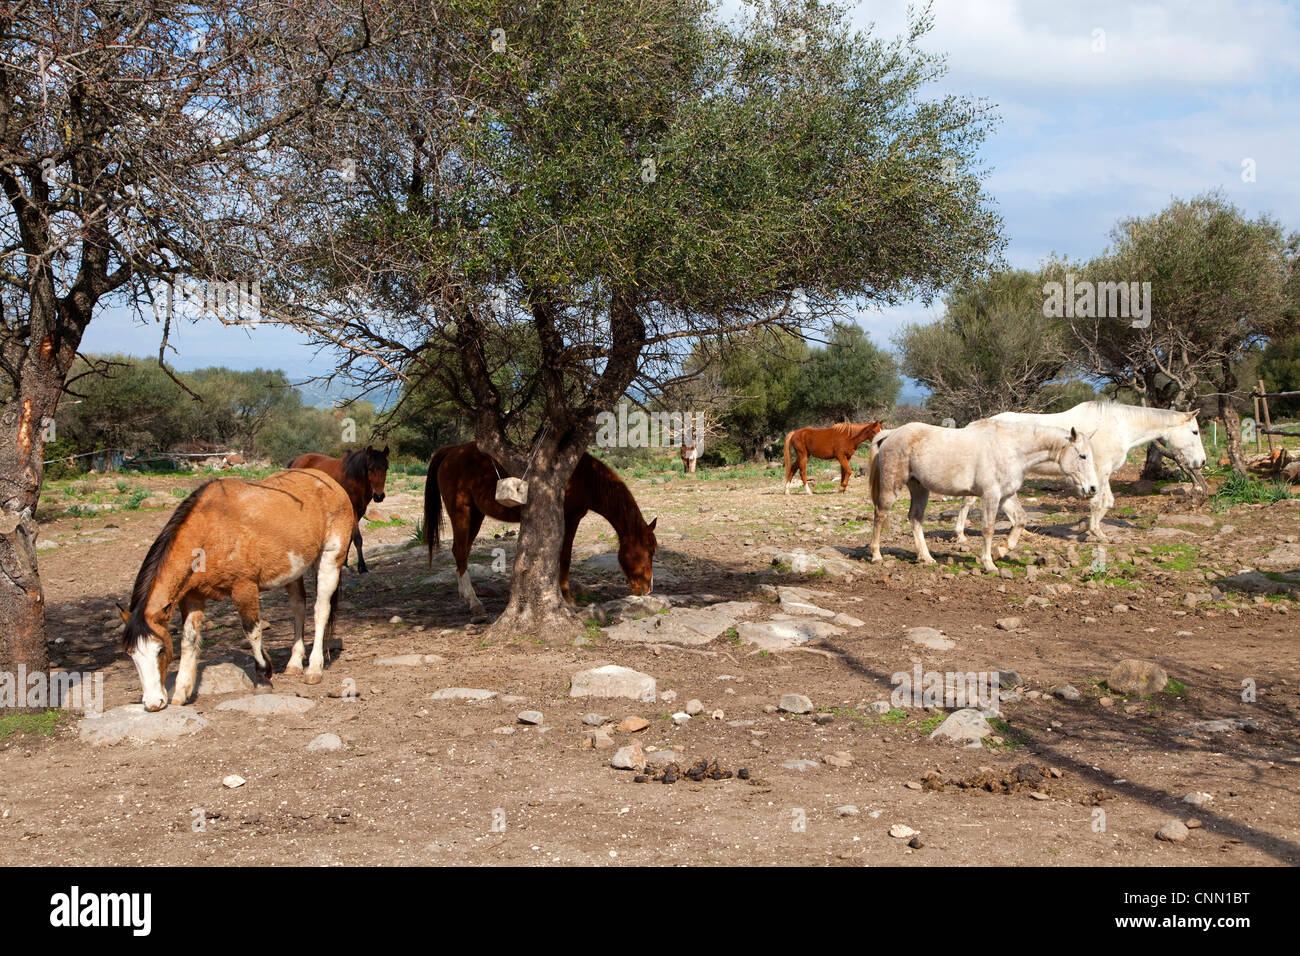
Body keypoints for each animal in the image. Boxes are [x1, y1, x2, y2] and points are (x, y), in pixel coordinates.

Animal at [120, 469, 355, 711]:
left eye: (160, 649)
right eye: (131, 654)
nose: (153, 703)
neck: (209, 530)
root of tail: (330, 483)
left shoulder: (244, 587)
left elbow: (252, 631)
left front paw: (262, 678)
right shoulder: (192, 598)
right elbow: (188, 640)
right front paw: (181, 693)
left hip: (329, 561)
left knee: (321, 611)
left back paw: (314, 669)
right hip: (294, 571)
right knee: (299, 608)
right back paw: (295, 664)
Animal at [424, 443, 657, 620]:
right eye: (650, 551)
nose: (647, 589)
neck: (585, 477)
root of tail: (452, 450)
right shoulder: (570, 519)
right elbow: (564, 558)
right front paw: (568, 601)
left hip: (475, 516)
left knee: (460, 551)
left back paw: (465, 596)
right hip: (461, 512)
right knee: (460, 551)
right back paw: (474, 603)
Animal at [870, 420, 1100, 573]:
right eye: (1082, 456)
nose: (1093, 488)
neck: (1012, 448)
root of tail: (891, 434)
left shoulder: (1006, 496)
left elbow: (1021, 520)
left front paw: (1001, 550)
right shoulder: (991, 495)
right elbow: (988, 529)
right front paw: (989, 563)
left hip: (919, 488)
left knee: (915, 518)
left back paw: (926, 557)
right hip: (892, 487)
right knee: (880, 515)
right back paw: (876, 555)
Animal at [952, 402, 1205, 542]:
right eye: (1194, 431)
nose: (1201, 461)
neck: (1118, 426)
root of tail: (975, 425)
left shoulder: (1104, 474)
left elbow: (1107, 502)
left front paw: (1097, 532)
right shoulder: (1100, 472)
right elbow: (1096, 502)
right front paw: (1094, 533)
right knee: (968, 501)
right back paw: (961, 535)